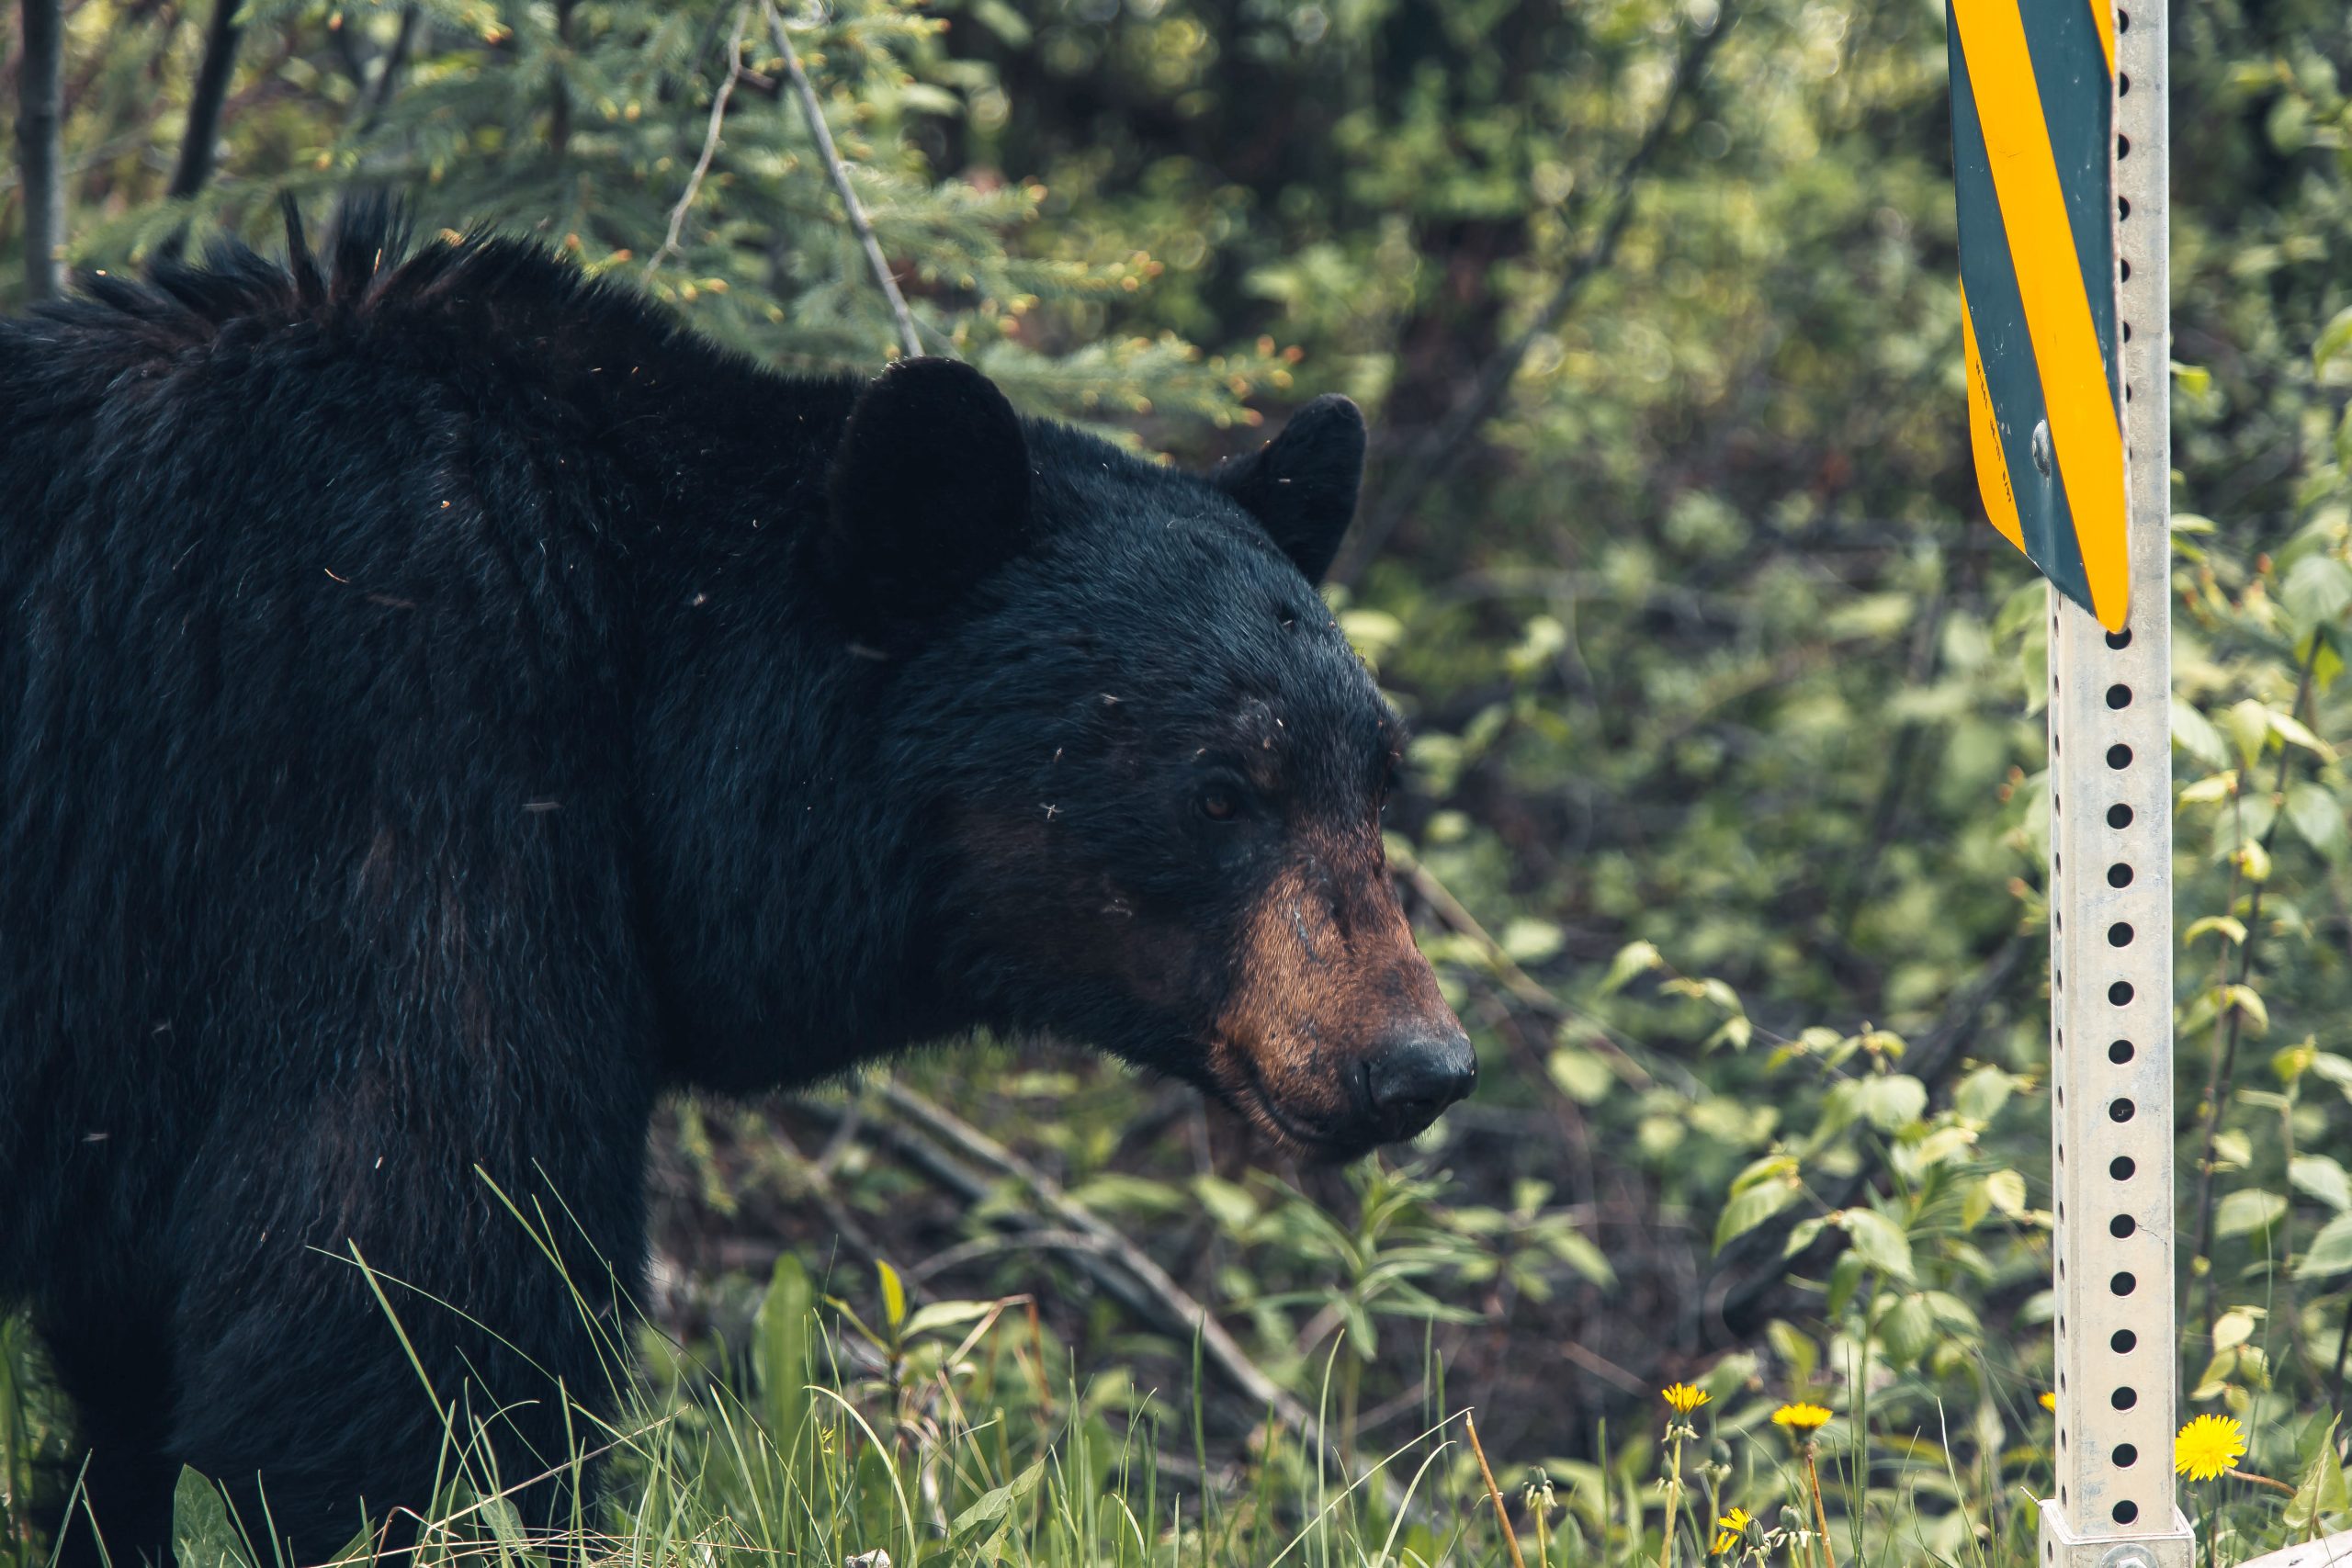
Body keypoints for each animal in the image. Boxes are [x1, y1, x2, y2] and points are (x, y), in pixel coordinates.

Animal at [0, 204, 1474, 1567]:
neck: (644, 657)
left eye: (1377, 774)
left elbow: (143, 1383)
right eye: (1222, 788)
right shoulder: (390, 770)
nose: (1419, 1061)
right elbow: (409, 1281)